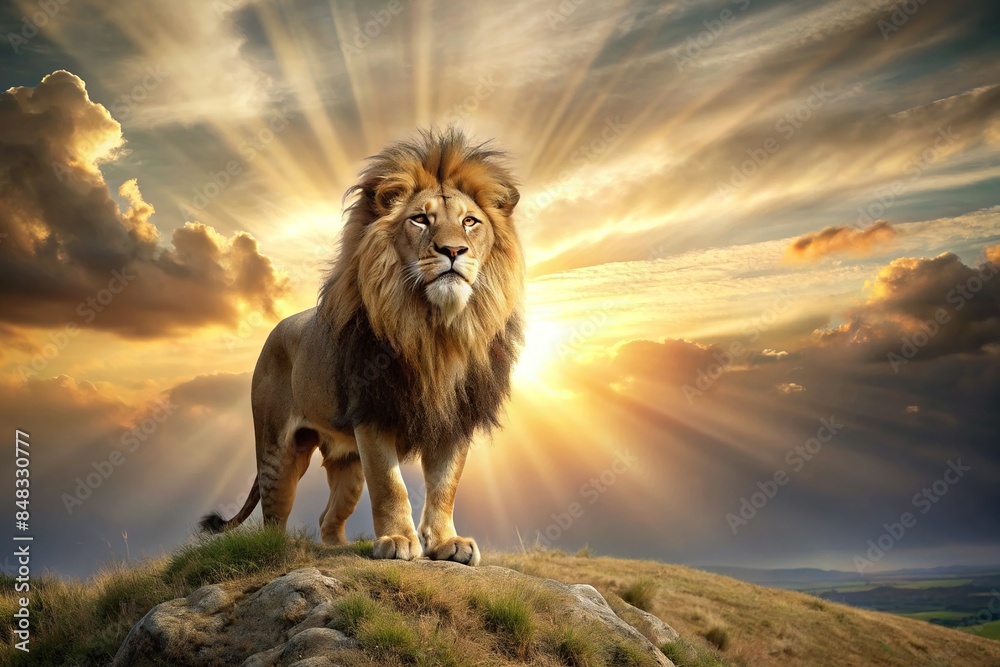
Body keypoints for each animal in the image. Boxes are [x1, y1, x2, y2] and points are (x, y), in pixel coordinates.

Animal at [199, 128, 524, 566]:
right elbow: (390, 485)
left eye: (469, 222)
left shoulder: (455, 418)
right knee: (273, 515)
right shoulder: (373, 412)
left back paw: (337, 547)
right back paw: (281, 549)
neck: (435, 330)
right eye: (421, 219)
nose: (454, 251)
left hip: (348, 463)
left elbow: (445, 486)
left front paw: (445, 544)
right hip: (277, 451)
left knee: (326, 516)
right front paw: (398, 541)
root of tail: (276, 329)